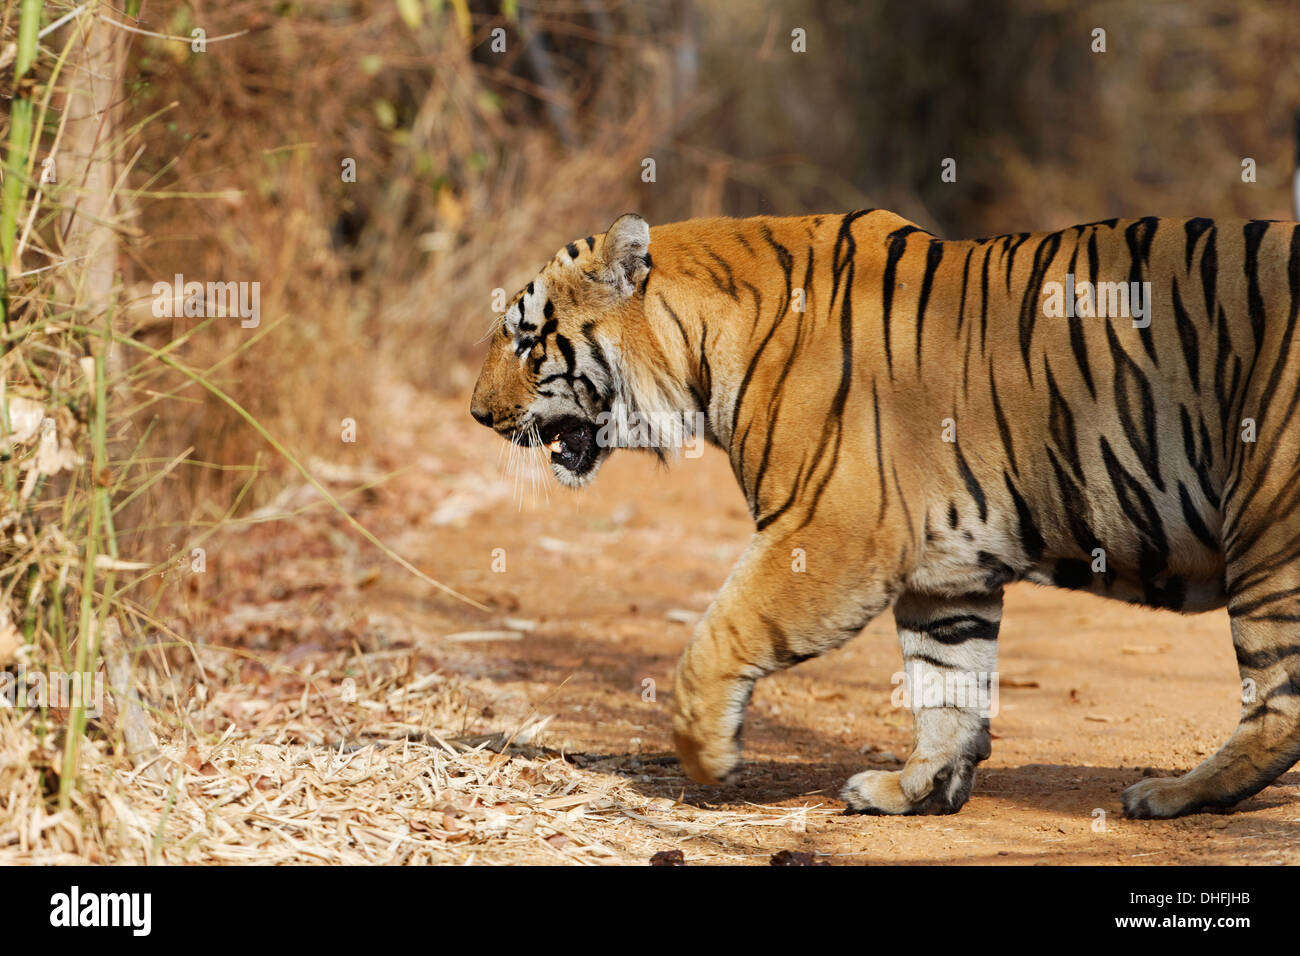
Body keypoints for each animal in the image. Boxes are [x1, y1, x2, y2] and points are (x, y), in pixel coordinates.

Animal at [469, 209, 1300, 818]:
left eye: (525, 338)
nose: (476, 414)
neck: (703, 356)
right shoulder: (947, 569)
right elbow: (946, 681)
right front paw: (918, 787)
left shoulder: (831, 531)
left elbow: (719, 633)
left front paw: (708, 753)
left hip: (1270, 529)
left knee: (1278, 704)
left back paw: (1173, 794)